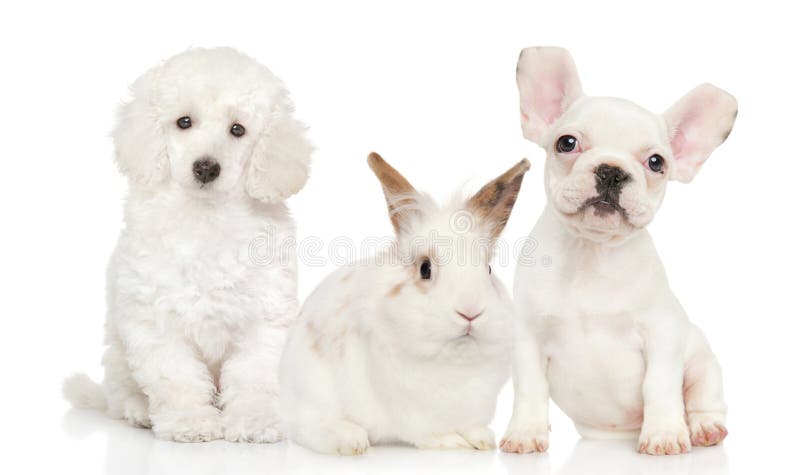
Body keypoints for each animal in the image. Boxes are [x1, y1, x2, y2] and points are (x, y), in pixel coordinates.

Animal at [279, 152, 530, 455]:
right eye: (425, 268)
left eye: (489, 269)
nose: (470, 312)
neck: (452, 358)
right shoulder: (408, 406)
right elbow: (426, 432)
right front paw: (451, 442)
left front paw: (482, 439)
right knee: (307, 427)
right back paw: (352, 440)